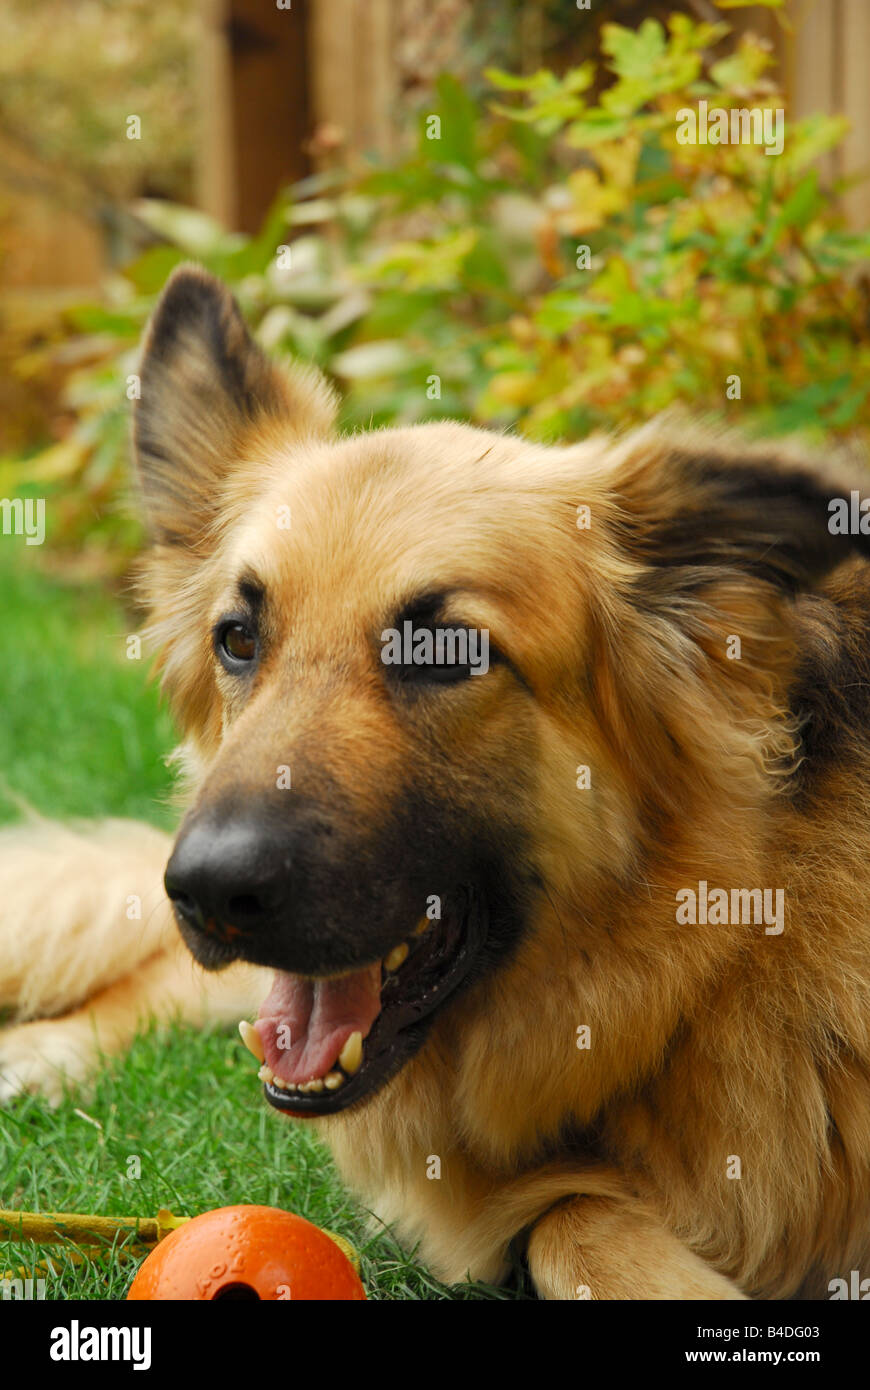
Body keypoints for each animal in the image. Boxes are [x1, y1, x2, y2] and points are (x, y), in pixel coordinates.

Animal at [1, 265, 867, 1295]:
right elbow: (569, 1213)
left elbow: (571, 1215)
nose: (206, 889)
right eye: (238, 638)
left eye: (445, 655)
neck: (711, 968)